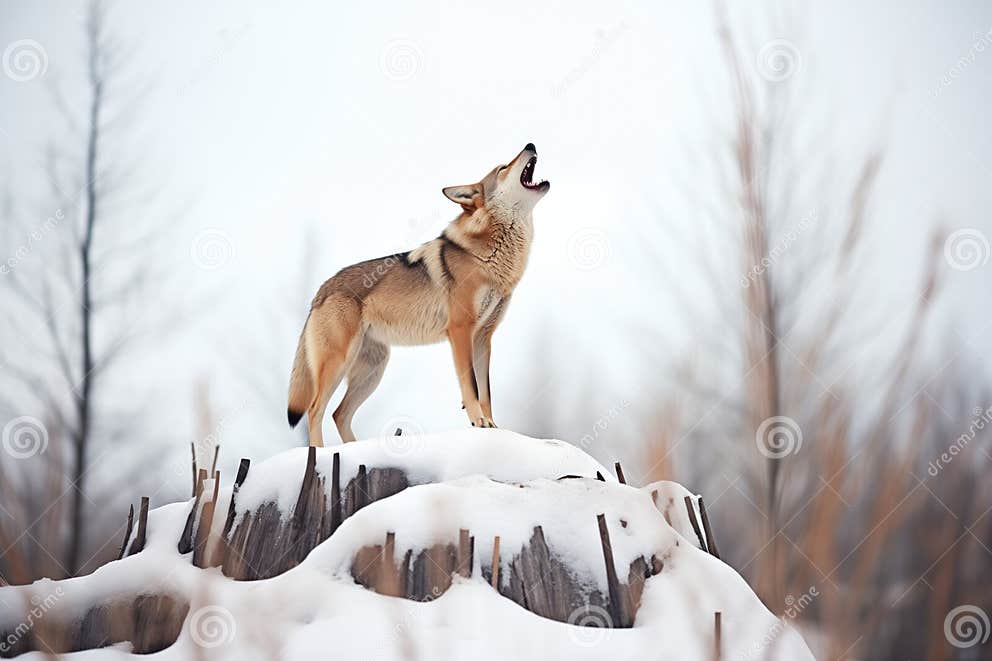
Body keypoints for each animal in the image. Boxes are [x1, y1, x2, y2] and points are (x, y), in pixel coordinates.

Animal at [287, 143, 550, 446]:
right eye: (502, 168)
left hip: (373, 370)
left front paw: (492, 427)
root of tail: (321, 290)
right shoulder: (460, 331)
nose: (530, 144)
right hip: (339, 363)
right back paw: (320, 451)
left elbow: (486, 392)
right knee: (315, 409)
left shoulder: (484, 337)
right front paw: (479, 421)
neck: (490, 257)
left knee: (339, 413)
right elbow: (471, 386)